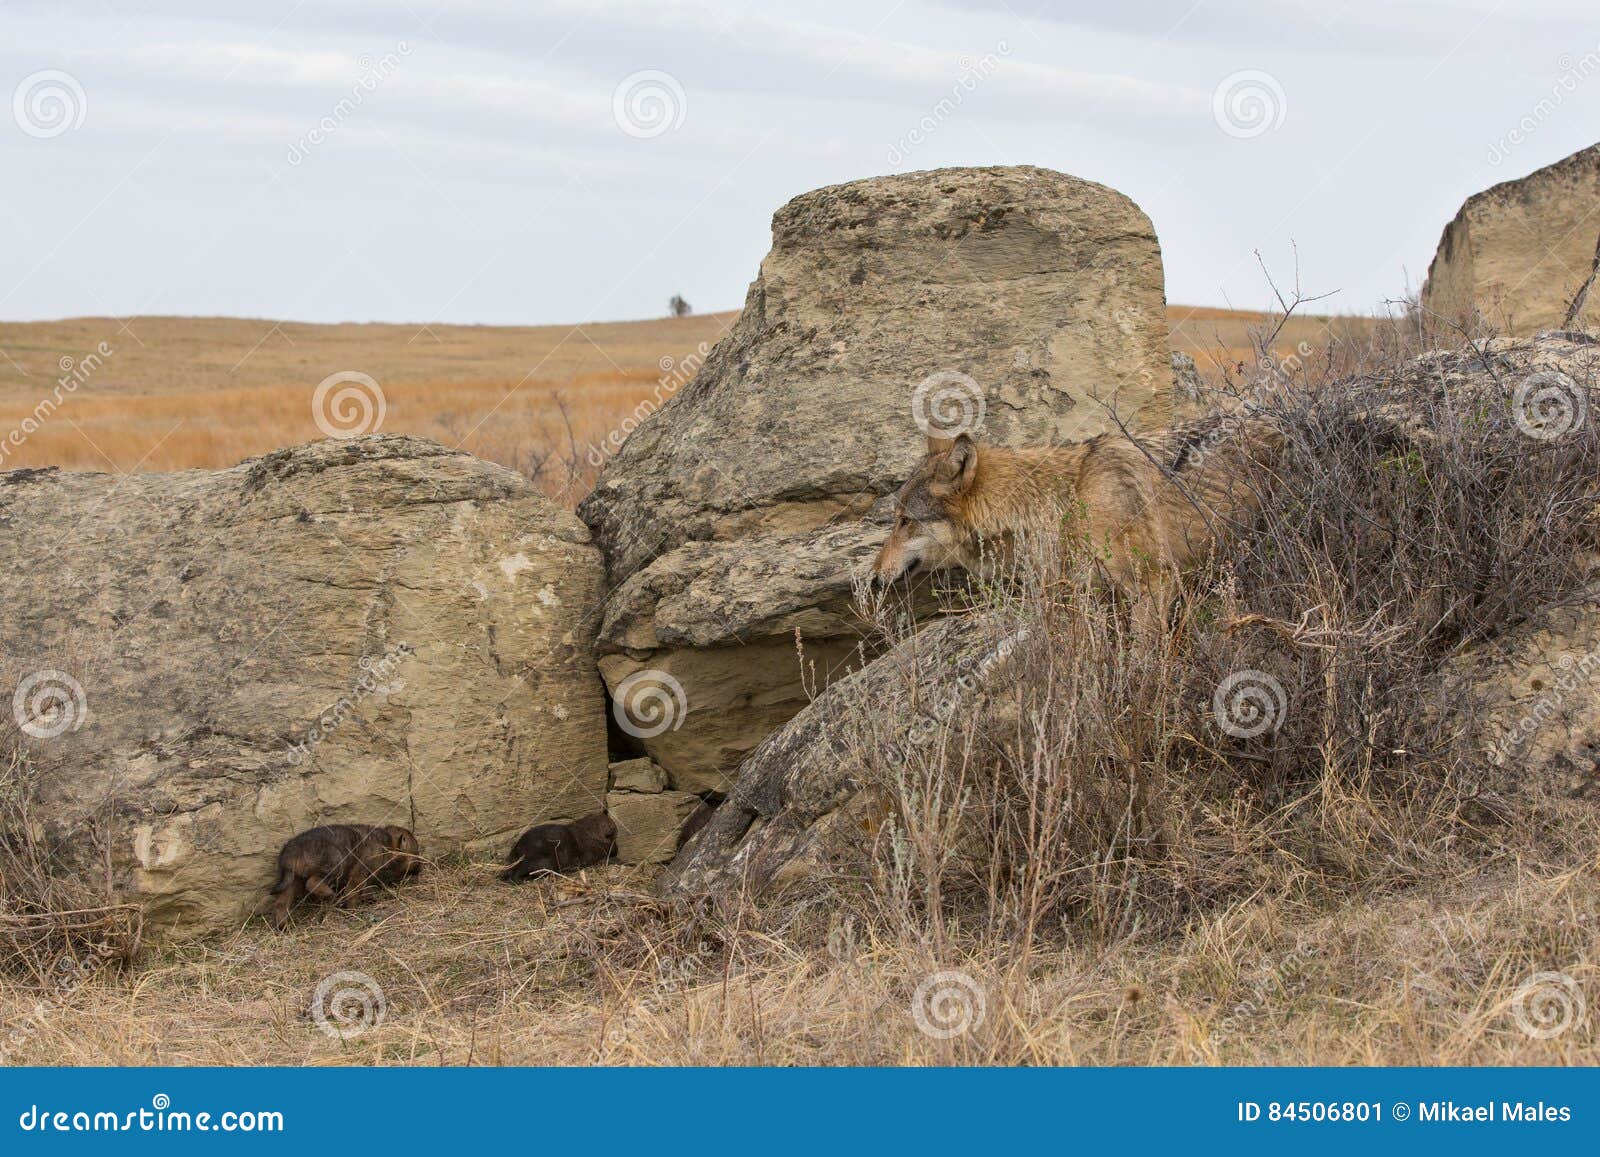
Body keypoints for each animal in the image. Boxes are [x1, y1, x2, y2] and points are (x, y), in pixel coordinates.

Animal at [269, 824, 423, 928]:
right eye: (416, 854)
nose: (420, 870)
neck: (387, 843)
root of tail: (292, 850)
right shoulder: (359, 872)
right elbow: (353, 891)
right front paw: (352, 910)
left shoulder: (366, 875)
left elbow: (366, 888)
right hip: (335, 864)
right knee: (312, 883)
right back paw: (329, 894)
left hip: (292, 880)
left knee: (281, 903)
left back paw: (283, 926)